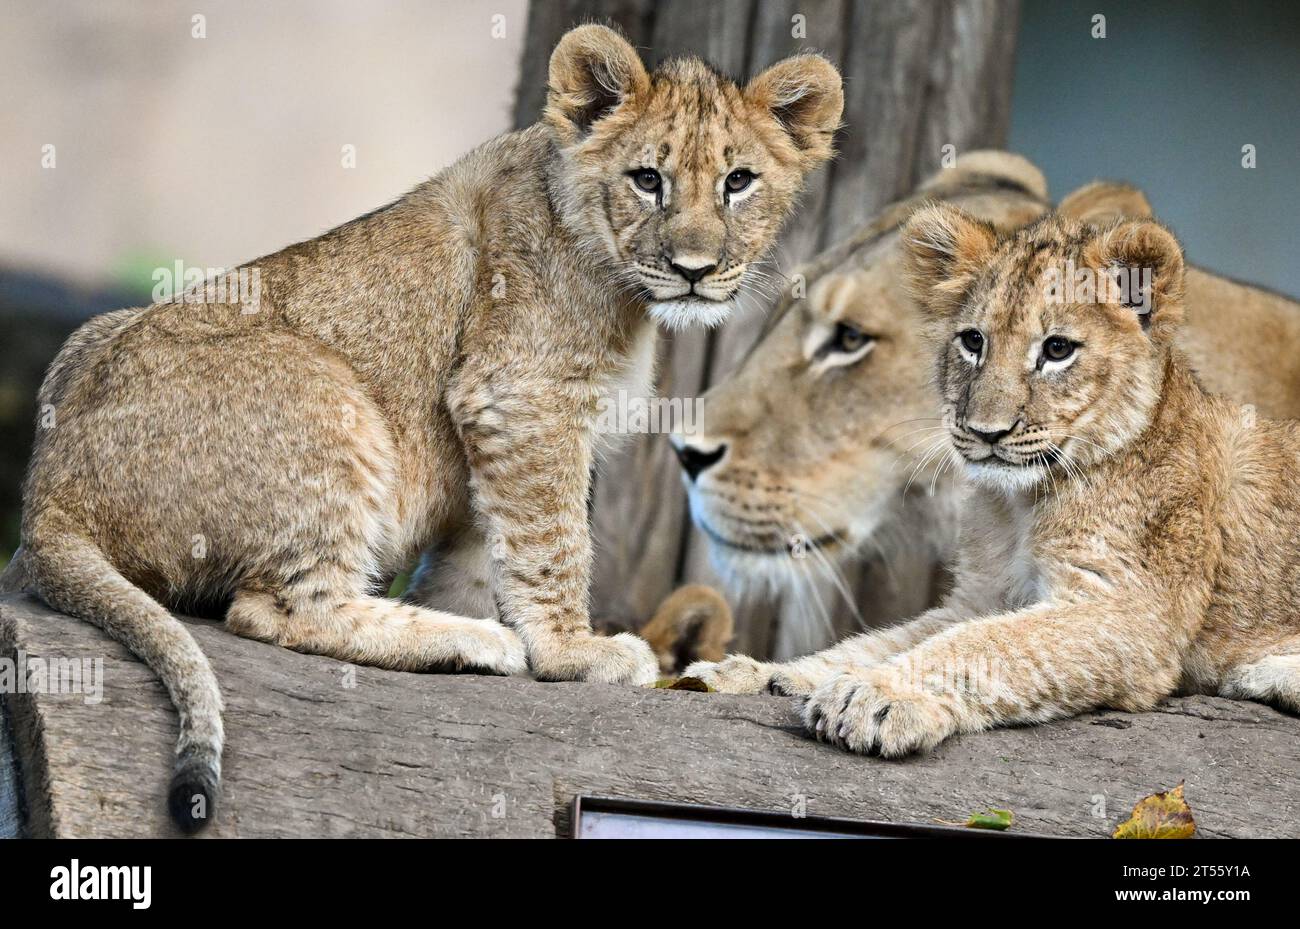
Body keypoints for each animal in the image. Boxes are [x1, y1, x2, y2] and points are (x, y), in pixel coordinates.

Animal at [1, 24, 843, 831]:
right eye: (647, 179)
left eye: (738, 182)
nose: (695, 269)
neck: (621, 284)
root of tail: (48, 495)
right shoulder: (518, 395)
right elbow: (554, 542)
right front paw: (573, 651)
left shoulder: (488, 440)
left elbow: (481, 553)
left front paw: (495, 623)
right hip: (323, 388)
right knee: (277, 608)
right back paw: (471, 642)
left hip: (96, 342)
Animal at [785, 205, 1300, 755]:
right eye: (973, 341)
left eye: (1057, 349)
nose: (986, 432)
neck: (1020, 506)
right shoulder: (981, 595)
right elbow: (884, 639)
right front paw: (774, 674)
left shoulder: (1132, 614)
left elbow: (983, 643)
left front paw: (874, 695)